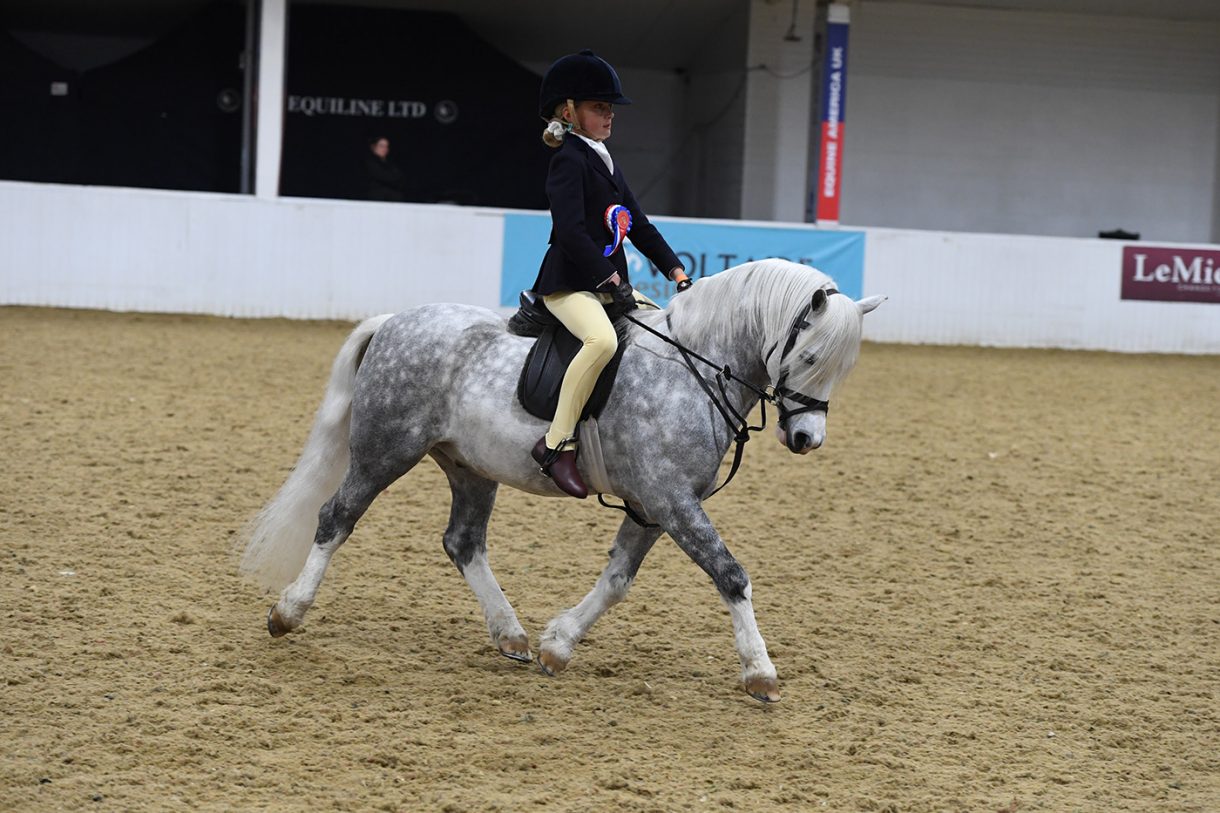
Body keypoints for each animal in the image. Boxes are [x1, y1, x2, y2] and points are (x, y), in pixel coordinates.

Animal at [239, 258, 885, 702]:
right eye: (808, 358)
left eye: (841, 369)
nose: (806, 439)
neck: (693, 368)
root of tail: (394, 321)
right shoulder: (672, 501)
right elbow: (731, 575)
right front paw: (761, 673)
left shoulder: (654, 508)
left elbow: (618, 581)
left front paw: (558, 645)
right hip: (385, 451)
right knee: (337, 517)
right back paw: (289, 611)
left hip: (471, 468)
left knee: (463, 542)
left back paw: (512, 636)